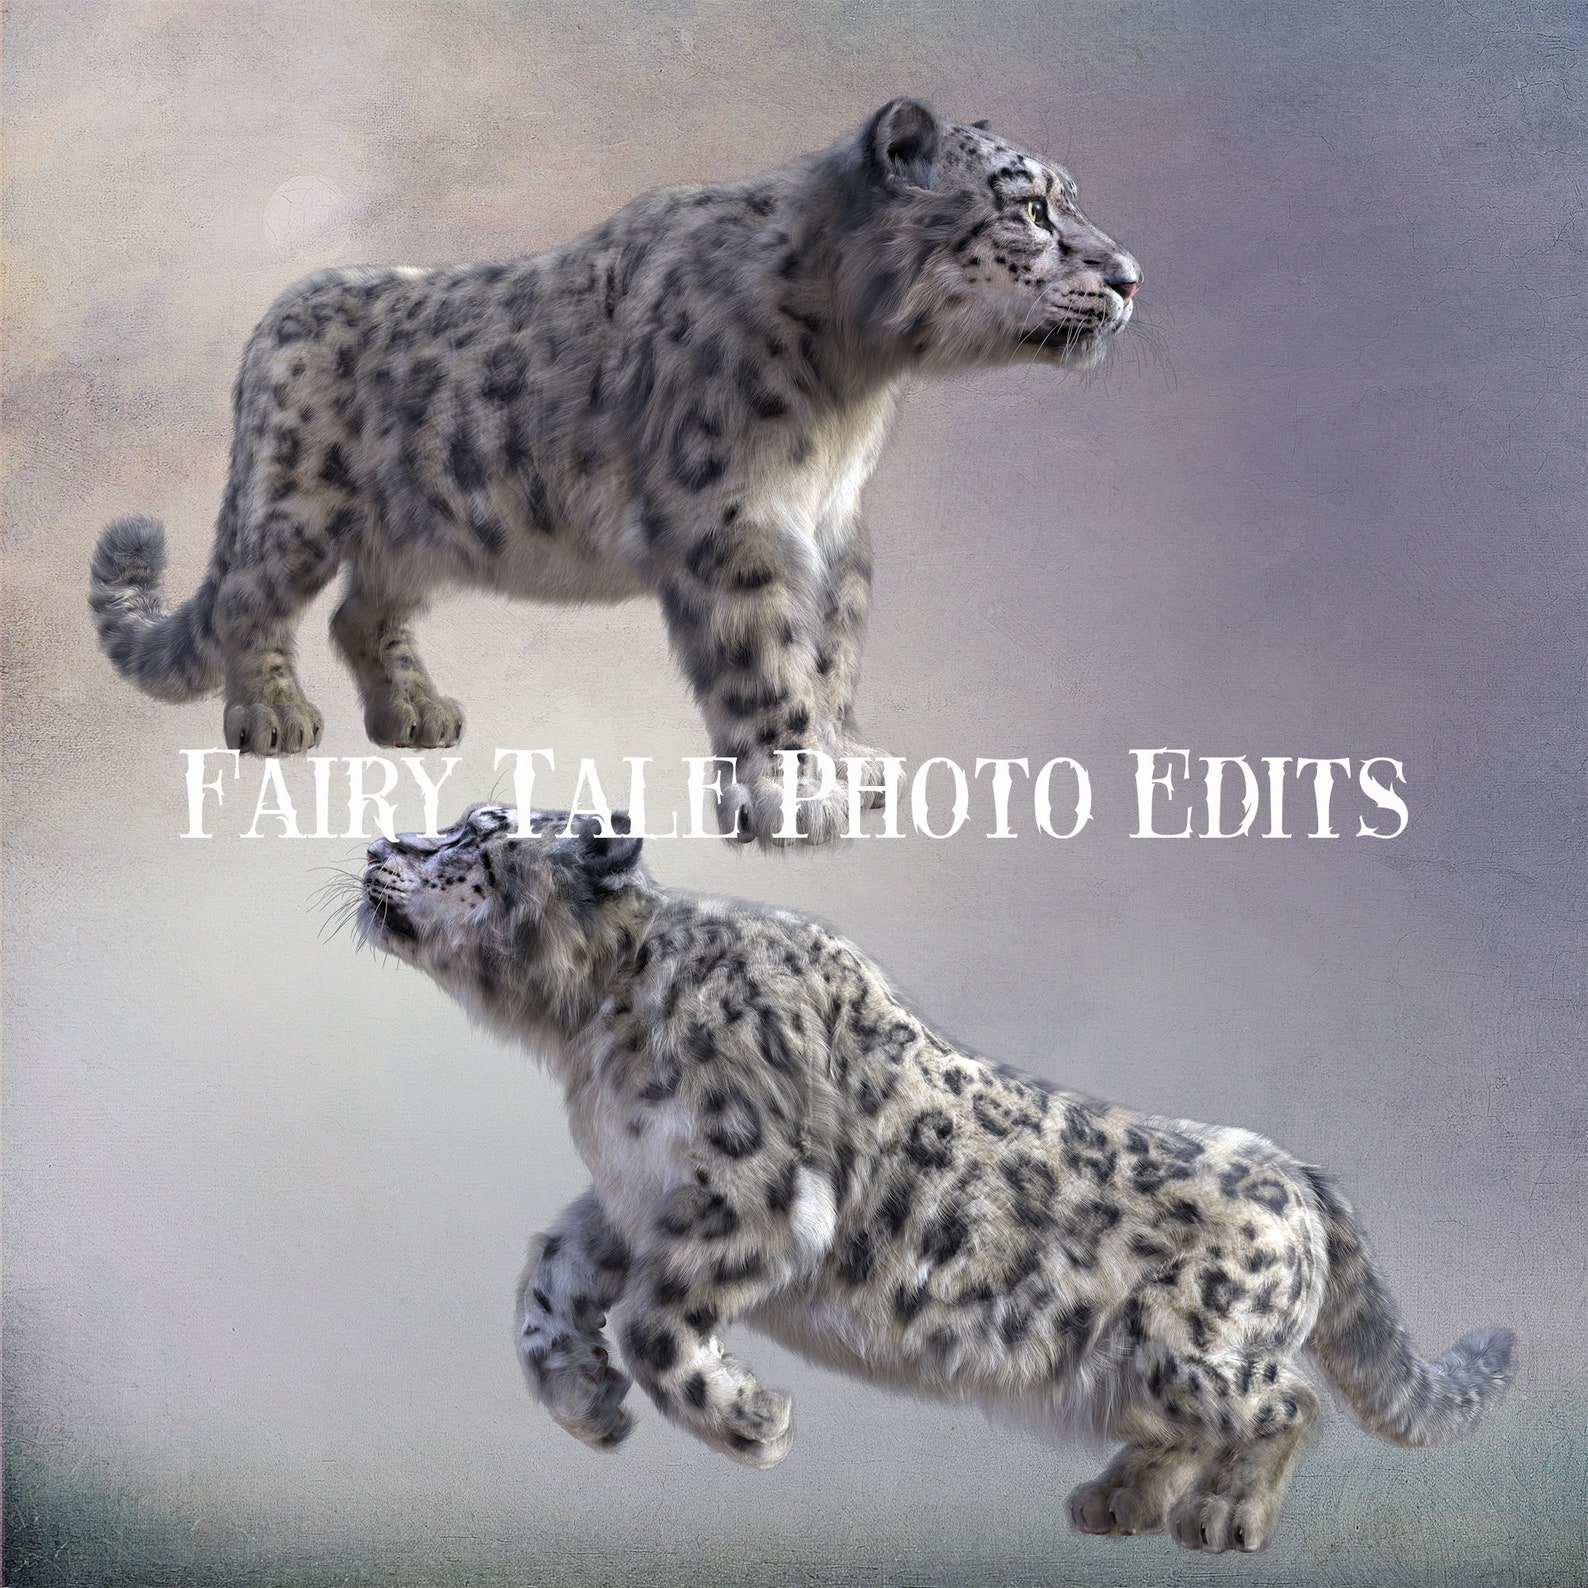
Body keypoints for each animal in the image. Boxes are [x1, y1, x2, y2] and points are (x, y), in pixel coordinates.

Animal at [89, 98, 1142, 845]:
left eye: (1067, 197)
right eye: (1033, 209)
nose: (1131, 275)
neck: (854, 395)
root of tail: (271, 320)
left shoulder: (835, 528)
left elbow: (834, 650)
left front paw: (849, 760)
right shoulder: (733, 519)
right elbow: (769, 659)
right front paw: (793, 794)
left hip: (421, 532)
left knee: (361, 612)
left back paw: (416, 713)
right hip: (296, 510)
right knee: (251, 602)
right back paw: (274, 716)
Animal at [350, 803, 1517, 1555]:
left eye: (473, 835)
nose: (371, 844)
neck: (586, 1040)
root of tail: (1299, 1172)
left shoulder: (751, 1198)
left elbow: (649, 1322)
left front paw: (750, 1421)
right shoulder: (632, 1201)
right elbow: (550, 1275)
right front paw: (583, 1401)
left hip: (1190, 1347)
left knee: (1288, 1399)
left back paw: (1224, 1517)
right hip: (1142, 1370)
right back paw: (1118, 1498)